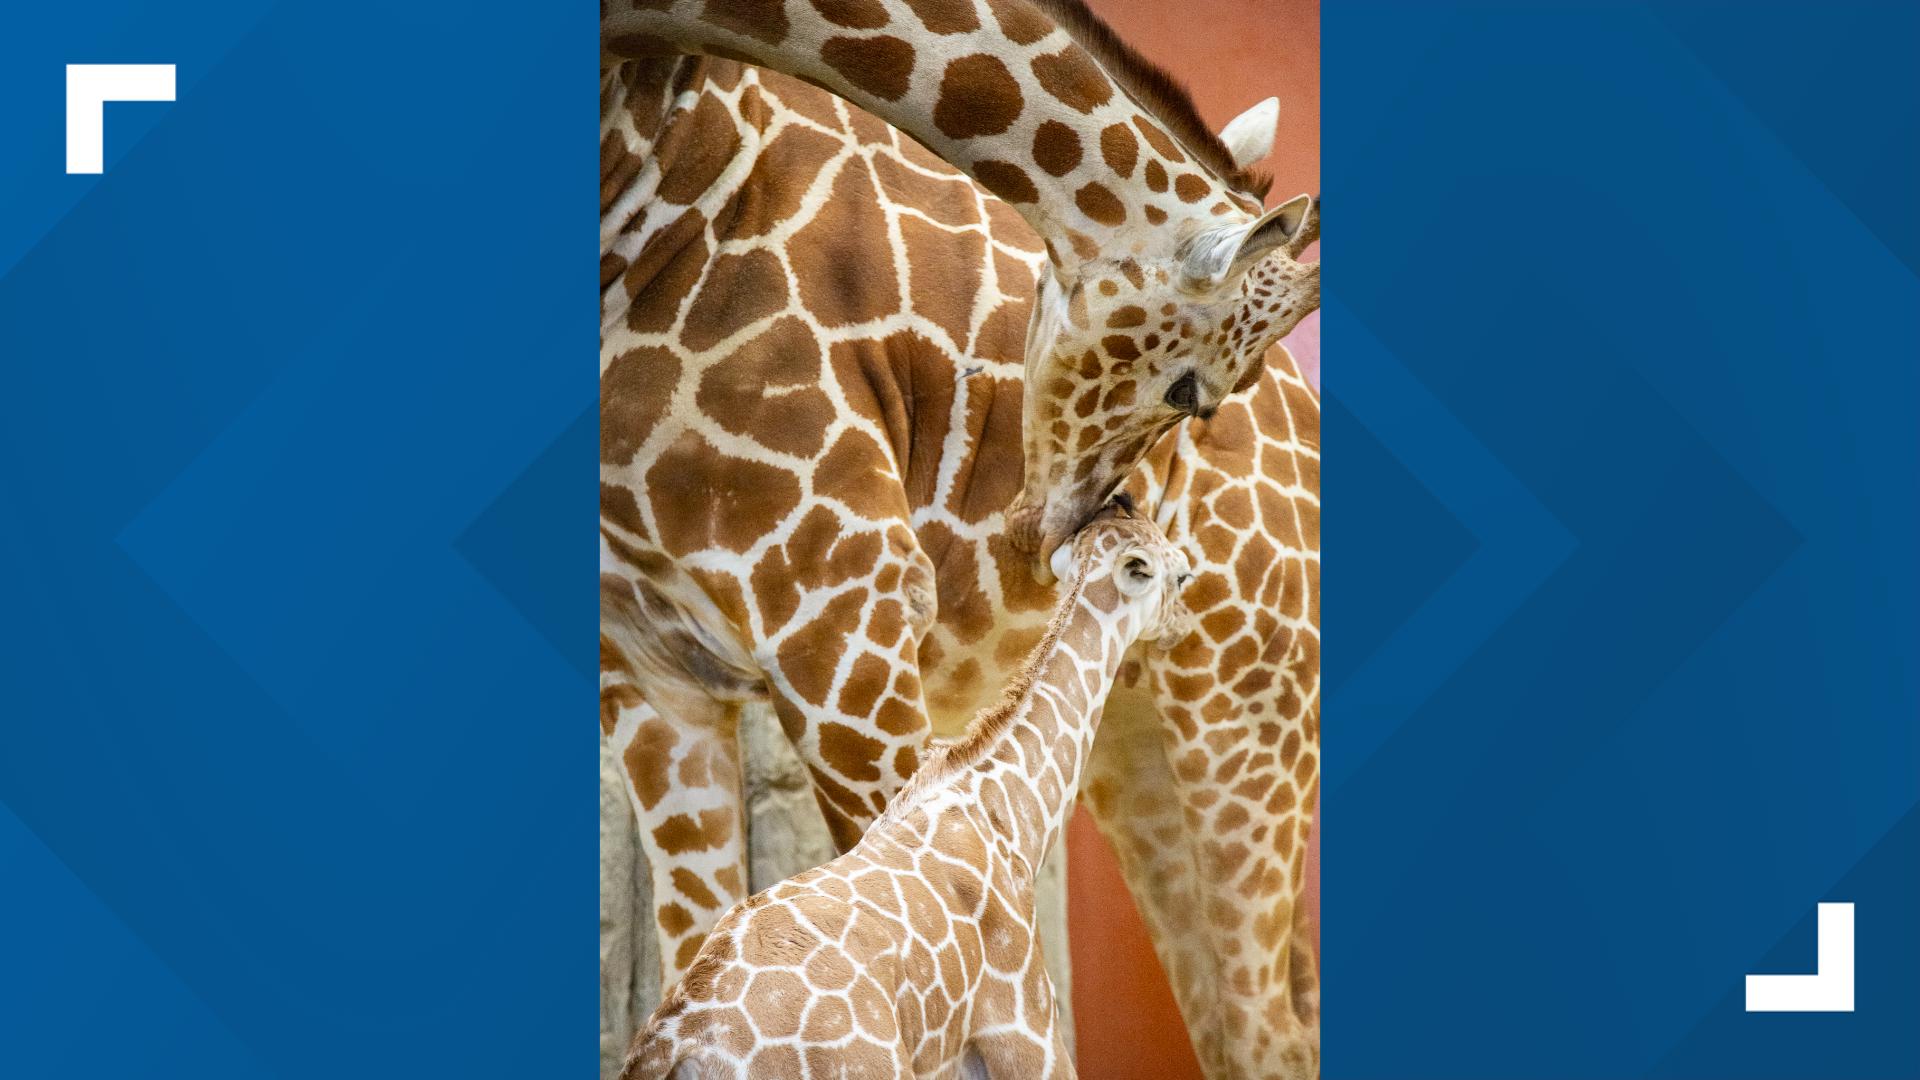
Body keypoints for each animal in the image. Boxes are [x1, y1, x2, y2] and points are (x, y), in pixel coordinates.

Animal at [624, 498, 1196, 1080]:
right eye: (1180, 573)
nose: (1181, 627)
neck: (1013, 813)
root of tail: (676, 1044)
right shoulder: (1027, 1027)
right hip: (875, 1065)